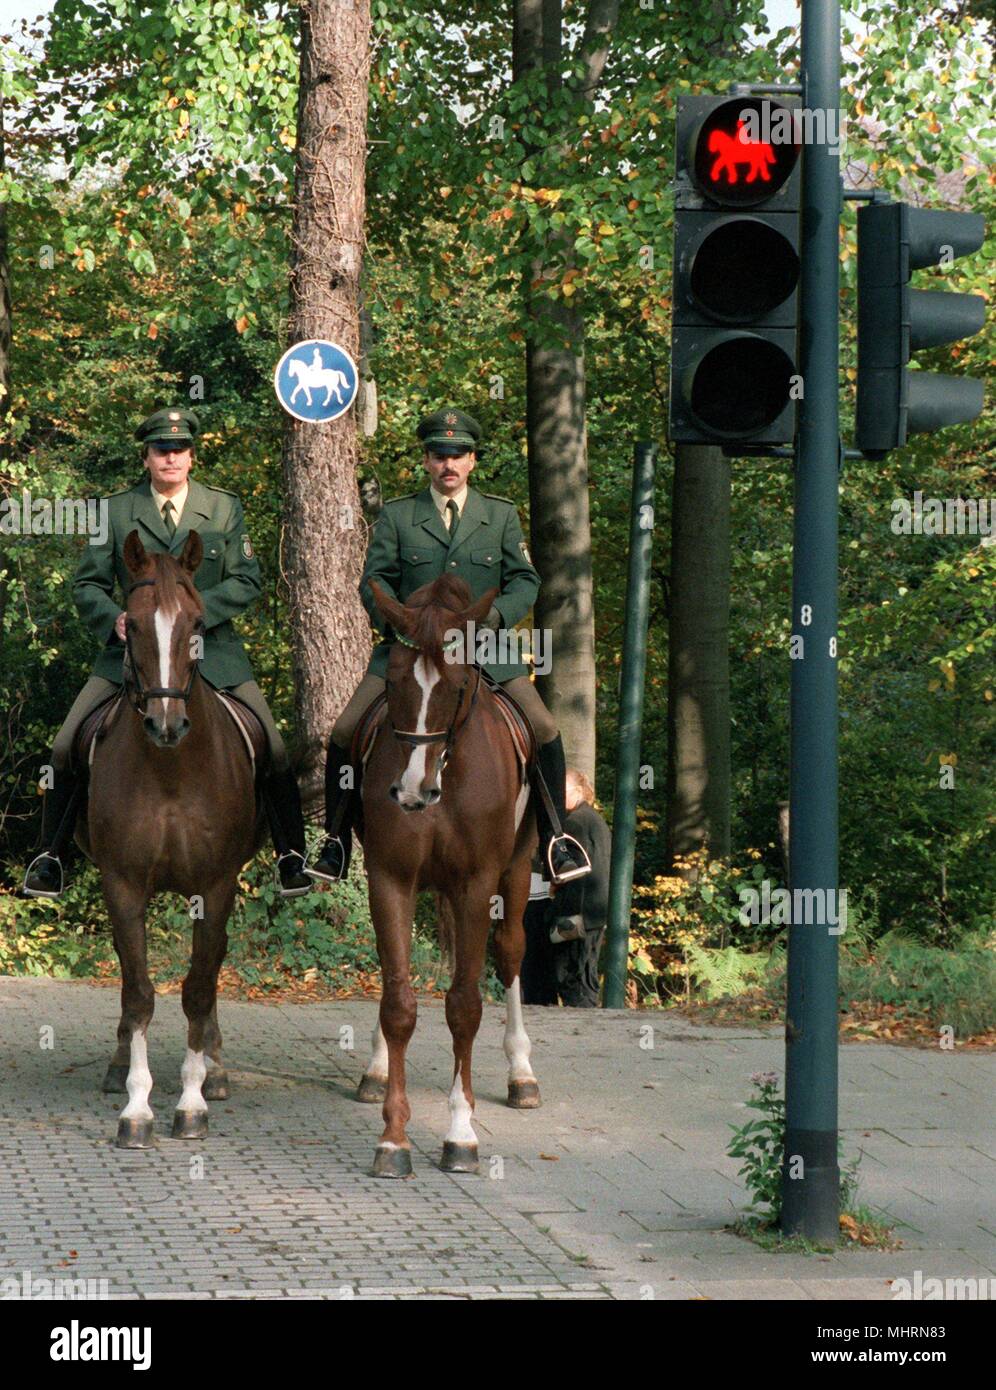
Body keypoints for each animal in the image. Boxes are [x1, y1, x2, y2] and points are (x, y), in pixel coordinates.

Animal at [80, 531, 264, 1149]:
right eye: (131, 625)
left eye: (198, 623)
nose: (166, 724)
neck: (169, 772)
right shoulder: (123, 884)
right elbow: (139, 992)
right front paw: (137, 1108)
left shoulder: (216, 884)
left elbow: (198, 988)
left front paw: (192, 1099)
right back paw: (118, 1068)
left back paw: (218, 1069)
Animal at [354, 574, 540, 1178]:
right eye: (393, 680)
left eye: (458, 685)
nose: (413, 790)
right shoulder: (389, 876)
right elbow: (399, 1004)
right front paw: (393, 1138)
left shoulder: (477, 882)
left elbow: (464, 1007)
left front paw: (460, 1133)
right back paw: (376, 1068)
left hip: (518, 870)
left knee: (509, 952)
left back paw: (521, 1073)